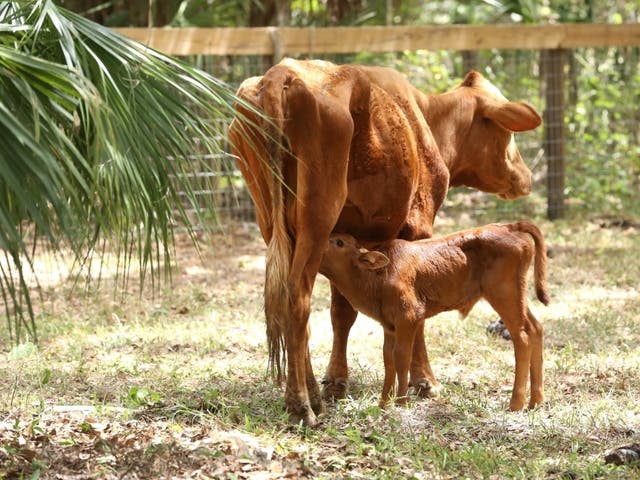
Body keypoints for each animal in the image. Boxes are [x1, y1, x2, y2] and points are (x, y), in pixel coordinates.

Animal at [319, 223, 549, 411]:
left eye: (339, 242)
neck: (378, 277)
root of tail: (509, 226)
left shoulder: (408, 318)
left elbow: (401, 356)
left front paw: (401, 402)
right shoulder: (389, 325)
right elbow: (387, 358)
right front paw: (383, 403)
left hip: (503, 294)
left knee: (522, 337)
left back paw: (516, 403)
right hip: (517, 297)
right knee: (536, 328)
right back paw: (535, 401)